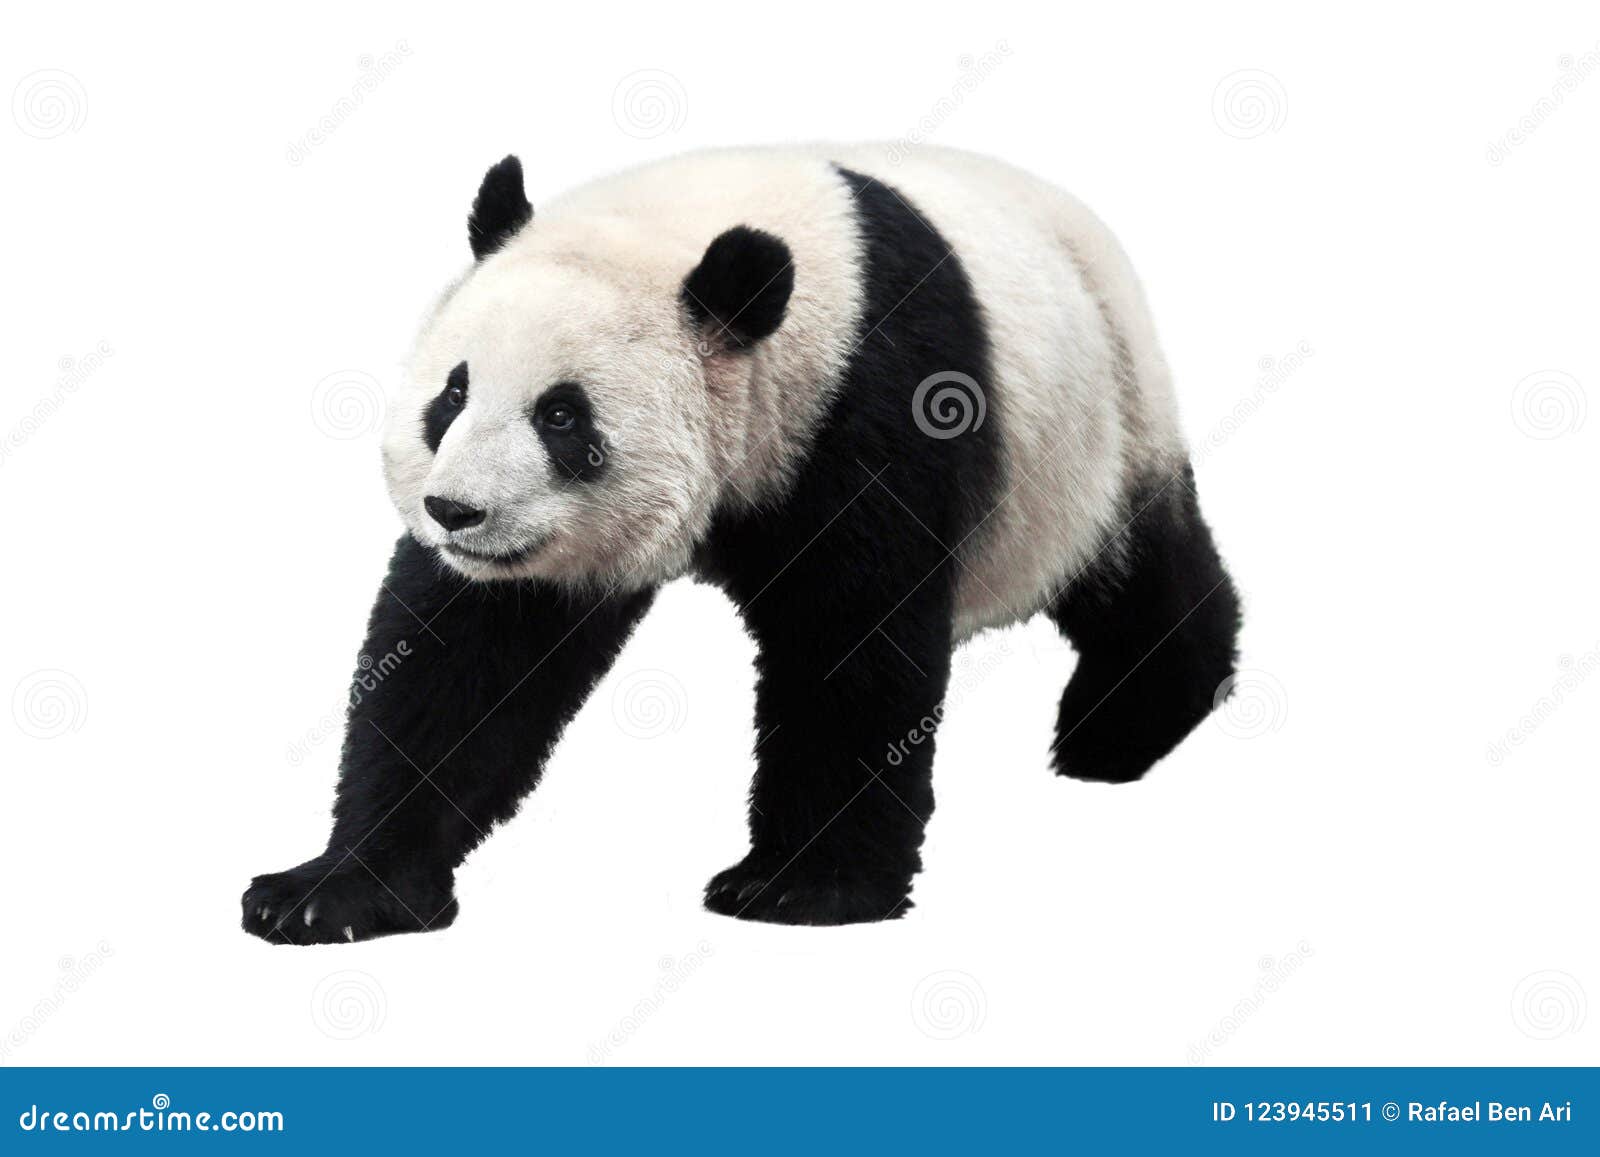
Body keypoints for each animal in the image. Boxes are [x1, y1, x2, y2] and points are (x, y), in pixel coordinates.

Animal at [242, 144, 1241, 941]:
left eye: (562, 416)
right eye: (451, 395)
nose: (454, 511)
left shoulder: (877, 401)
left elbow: (851, 648)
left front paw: (802, 888)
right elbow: (463, 663)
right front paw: (334, 890)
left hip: (1098, 424)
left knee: (1138, 572)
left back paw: (1123, 726)